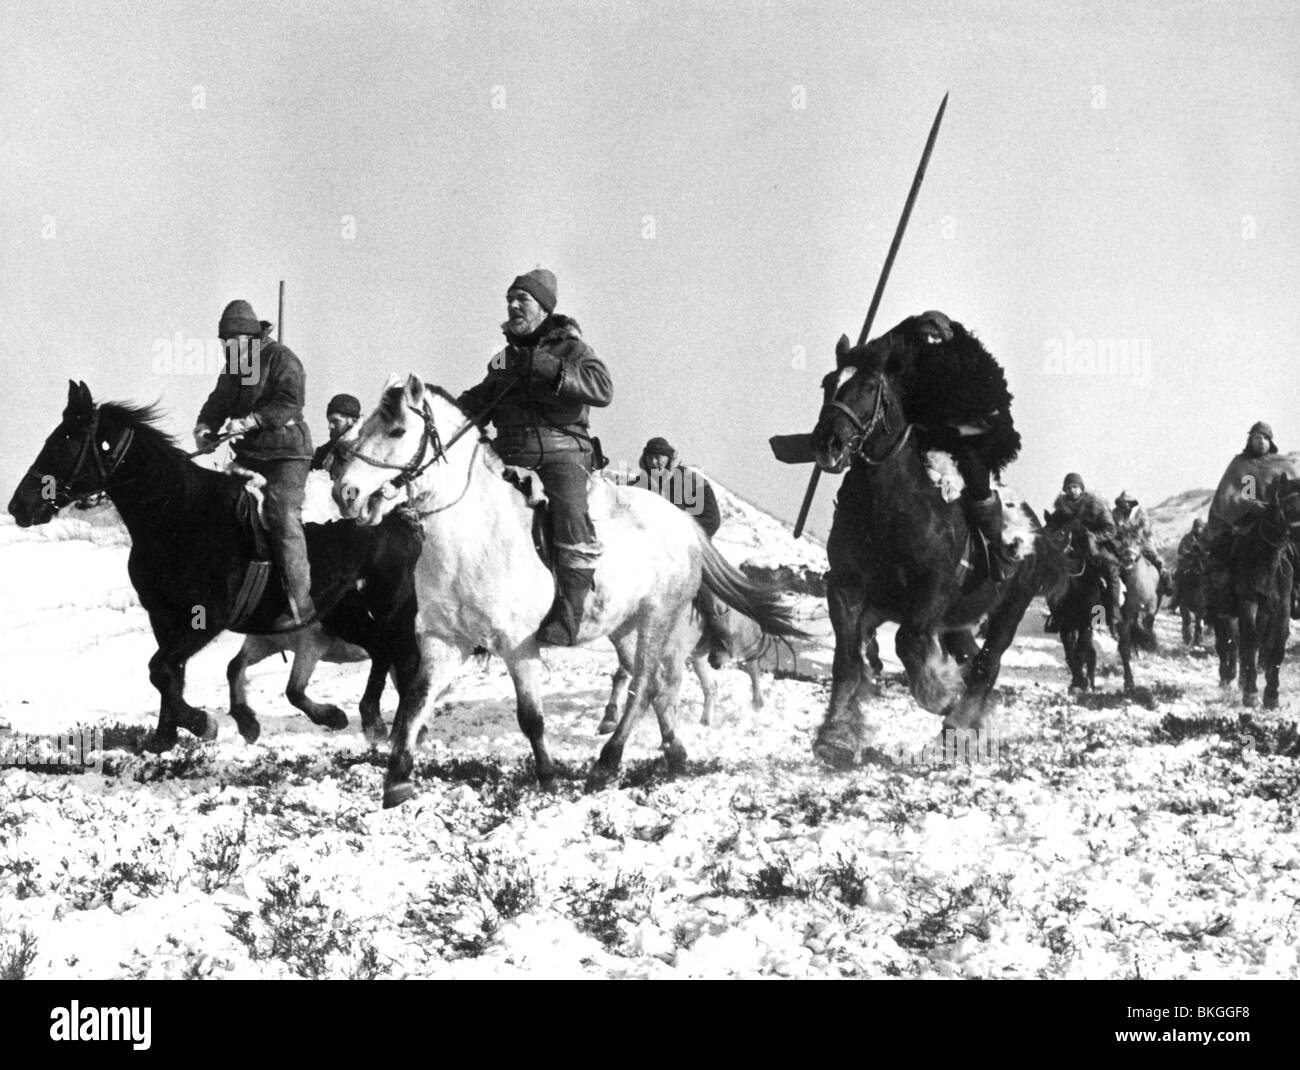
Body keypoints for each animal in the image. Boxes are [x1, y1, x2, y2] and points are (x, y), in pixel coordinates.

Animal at [6, 384, 421, 754]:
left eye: (64, 442)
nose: (19, 506)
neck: (182, 517)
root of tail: (401, 518)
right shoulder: (164, 617)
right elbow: (169, 674)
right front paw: (166, 737)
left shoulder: (206, 618)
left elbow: (160, 668)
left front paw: (201, 723)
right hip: (346, 615)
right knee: (381, 650)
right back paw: (357, 718)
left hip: (385, 607)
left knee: (397, 655)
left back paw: (377, 721)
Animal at [332, 377, 800, 800]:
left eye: (397, 430)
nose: (346, 492)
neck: (473, 538)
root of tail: (682, 521)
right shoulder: (443, 641)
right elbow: (415, 701)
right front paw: (397, 779)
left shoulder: (517, 644)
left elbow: (530, 717)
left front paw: (547, 776)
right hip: (624, 626)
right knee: (656, 687)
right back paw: (674, 753)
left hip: (658, 617)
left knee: (645, 685)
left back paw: (608, 762)